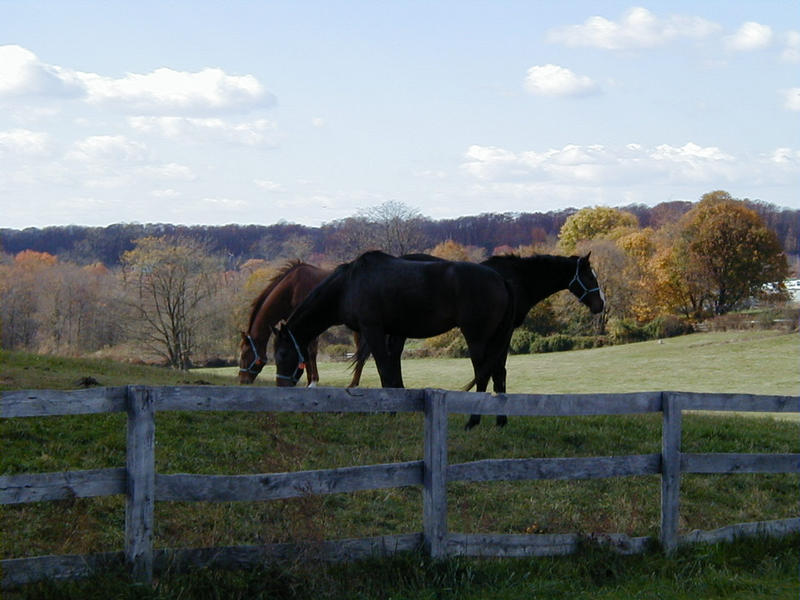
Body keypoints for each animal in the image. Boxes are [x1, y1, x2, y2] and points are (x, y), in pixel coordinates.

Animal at [272, 251, 517, 424]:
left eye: (282, 354)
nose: (280, 388)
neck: (348, 285)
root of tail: (501, 279)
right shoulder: (393, 333)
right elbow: (392, 370)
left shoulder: (373, 330)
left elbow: (384, 369)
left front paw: (389, 410)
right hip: (496, 340)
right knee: (499, 373)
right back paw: (500, 421)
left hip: (477, 338)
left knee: (483, 374)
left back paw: (474, 420)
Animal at [348, 252, 605, 428]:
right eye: (588, 276)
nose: (600, 305)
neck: (515, 279)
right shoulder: (500, 334)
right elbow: (494, 372)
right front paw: (491, 419)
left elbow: (497, 373)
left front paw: (500, 419)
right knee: (391, 359)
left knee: (391, 358)